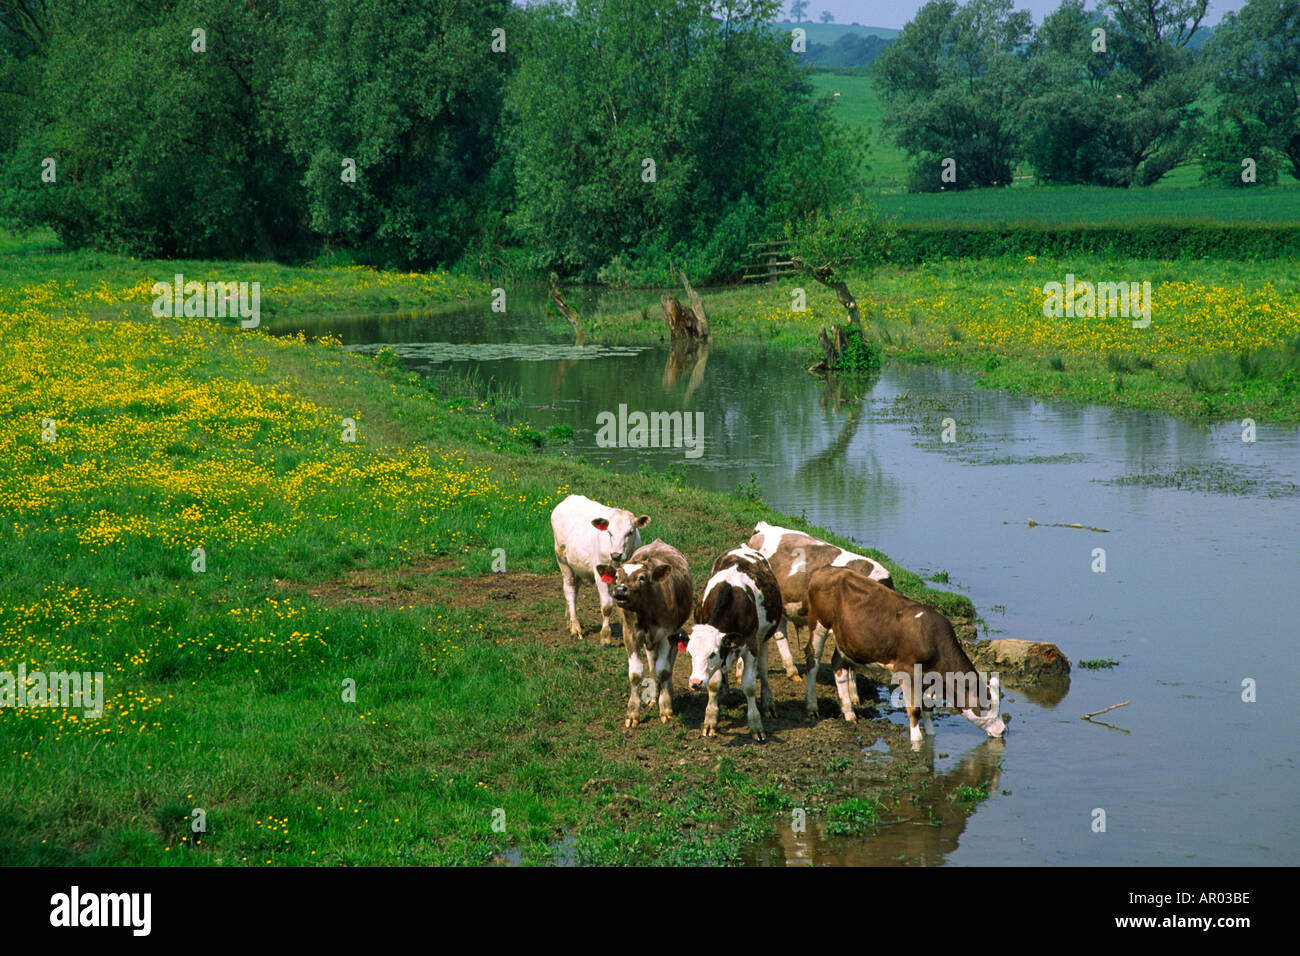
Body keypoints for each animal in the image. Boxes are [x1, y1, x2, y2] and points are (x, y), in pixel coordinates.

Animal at [551, 494, 650, 645]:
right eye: (609, 532)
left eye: (630, 532)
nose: (616, 554)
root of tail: (570, 498)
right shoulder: (600, 574)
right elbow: (607, 605)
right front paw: (605, 636)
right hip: (562, 558)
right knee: (569, 588)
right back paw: (575, 627)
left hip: (578, 565)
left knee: (575, 589)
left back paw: (569, 620)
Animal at [595, 539, 693, 727]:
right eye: (616, 577)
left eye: (642, 577)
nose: (620, 590)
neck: (646, 611)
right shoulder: (630, 634)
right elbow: (636, 673)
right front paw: (633, 712)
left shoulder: (666, 634)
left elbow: (664, 670)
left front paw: (666, 707)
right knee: (652, 661)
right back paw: (654, 693)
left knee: (669, 661)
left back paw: (668, 691)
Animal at [683, 546, 785, 741]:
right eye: (689, 654)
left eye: (712, 654)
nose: (695, 682)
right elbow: (714, 683)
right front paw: (710, 720)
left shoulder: (750, 646)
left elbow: (749, 686)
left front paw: (756, 725)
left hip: (763, 639)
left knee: (763, 670)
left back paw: (768, 703)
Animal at [806, 566, 1005, 744]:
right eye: (986, 705)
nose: (1003, 730)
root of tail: (825, 569)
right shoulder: (907, 670)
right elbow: (914, 709)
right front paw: (916, 741)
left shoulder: (927, 677)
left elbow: (927, 709)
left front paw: (930, 737)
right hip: (818, 624)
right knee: (812, 661)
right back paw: (812, 707)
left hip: (844, 640)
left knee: (838, 665)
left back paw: (849, 713)